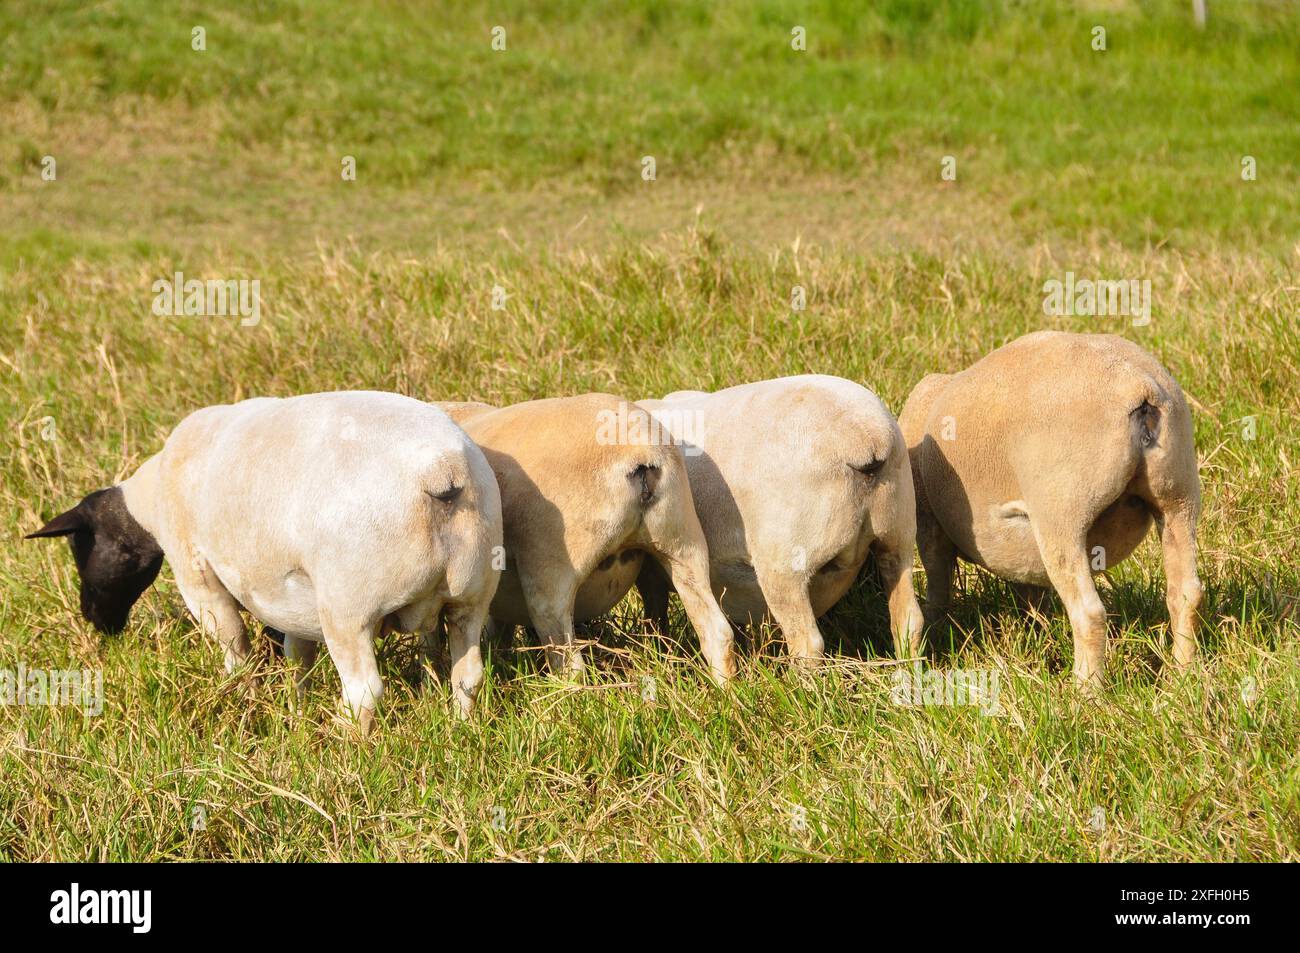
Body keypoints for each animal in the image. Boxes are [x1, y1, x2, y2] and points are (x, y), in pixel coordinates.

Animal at [26, 391, 502, 731]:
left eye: (81, 548)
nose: (94, 619)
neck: (150, 502)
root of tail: (443, 474)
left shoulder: (200, 580)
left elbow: (233, 645)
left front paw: (244, 701)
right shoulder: (295, 597)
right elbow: (297, 654)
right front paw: (297, 707)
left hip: (349, 607)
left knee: (364, 690)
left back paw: (345, 745)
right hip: (472, 596)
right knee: (469, 674)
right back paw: (460, 729)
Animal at [436, 394, 735, 683]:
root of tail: (641, 453)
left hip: (552, 565)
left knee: (567, 658)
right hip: (683, 542)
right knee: (716, 631)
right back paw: (725, 690)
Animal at [634, 375, 925, 663]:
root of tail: (866, 436)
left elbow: (655, 609)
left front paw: (655, 651)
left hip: (785, 563)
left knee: (807, 643)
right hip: (897, 536)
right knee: (908, 619)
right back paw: (908, 669)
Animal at [897, 331, 1203, 689]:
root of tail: (1138, 385)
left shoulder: (929, 524)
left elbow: (937, 587)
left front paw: (934, 634)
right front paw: (1036, 632)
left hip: (1062, 511)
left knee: (1089, 612)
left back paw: (1086, 690)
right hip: (1179, 494)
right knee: (1186, 593)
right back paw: (1182, 676)